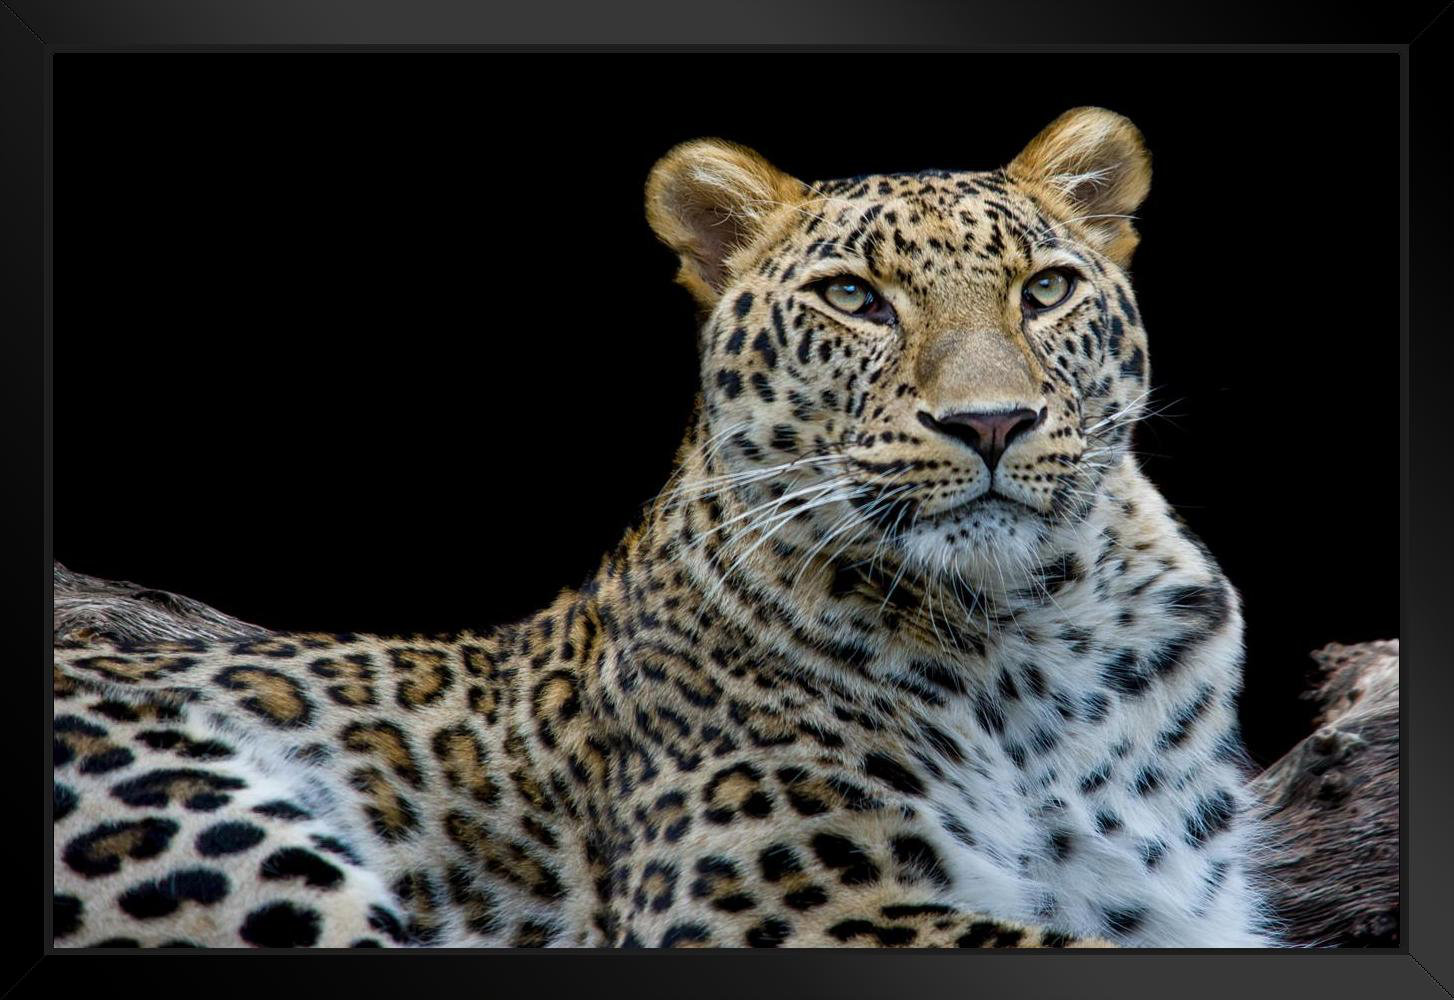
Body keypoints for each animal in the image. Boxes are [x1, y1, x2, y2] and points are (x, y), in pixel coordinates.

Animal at [52, 107, 1277, 949]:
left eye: (1044, 290)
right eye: (854, 298)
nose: (991, 421)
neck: (1031, 632)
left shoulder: (1180, 901)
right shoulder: (771, 902)